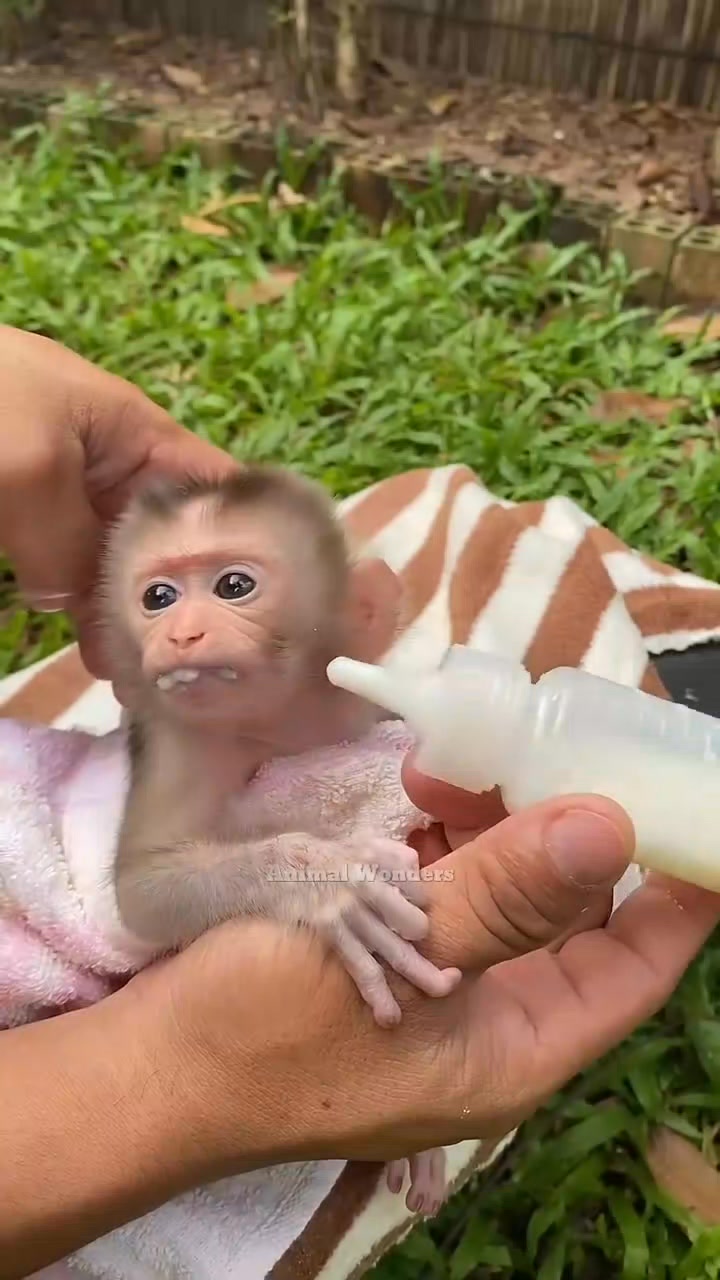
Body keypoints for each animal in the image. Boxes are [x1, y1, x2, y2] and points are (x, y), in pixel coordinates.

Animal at [98, 464, 461, 1216]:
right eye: (157, 597)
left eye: (234, 586)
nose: (179, 633)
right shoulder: (185, 743)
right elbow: (143, 889)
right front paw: (328, 883)